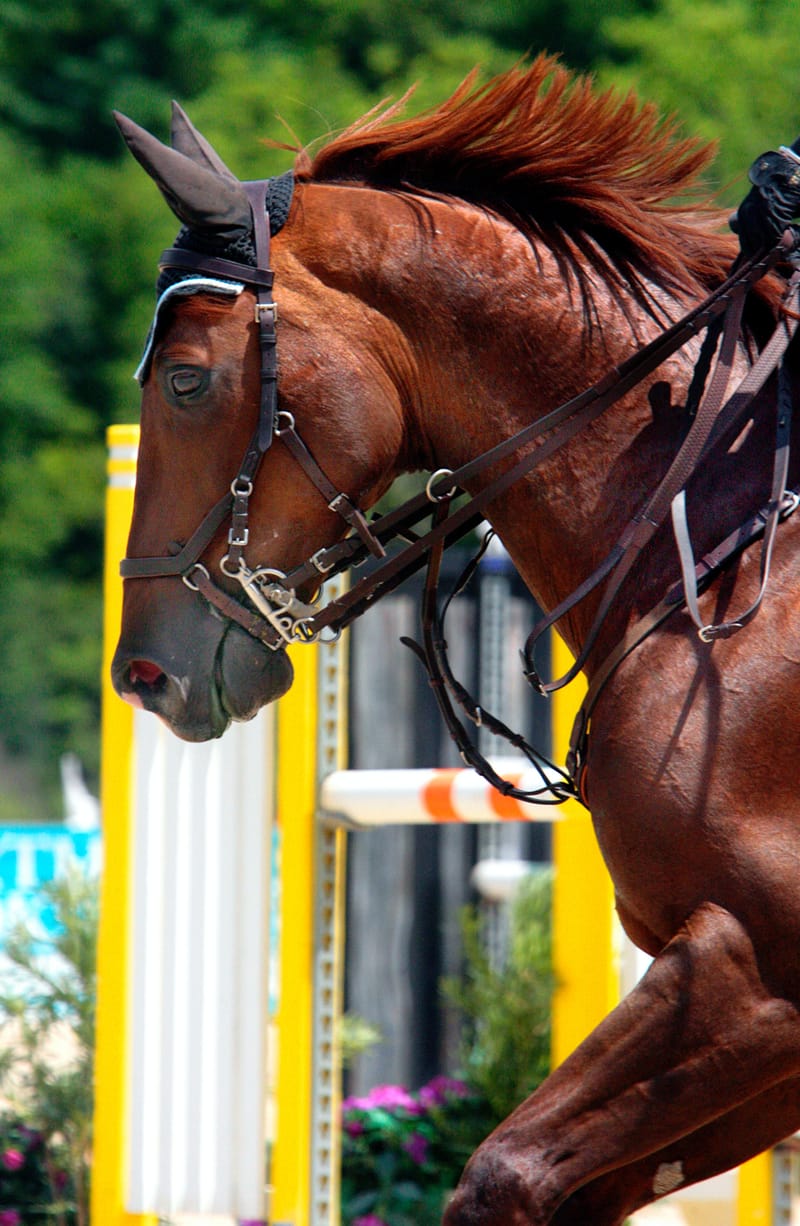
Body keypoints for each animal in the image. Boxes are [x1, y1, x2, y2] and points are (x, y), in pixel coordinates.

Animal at [110, 56, 800, 1224]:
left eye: (188, 379)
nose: (143, 675)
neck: (716, 538)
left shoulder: (748, 961)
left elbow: (501, 1175)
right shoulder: (751, 1017)